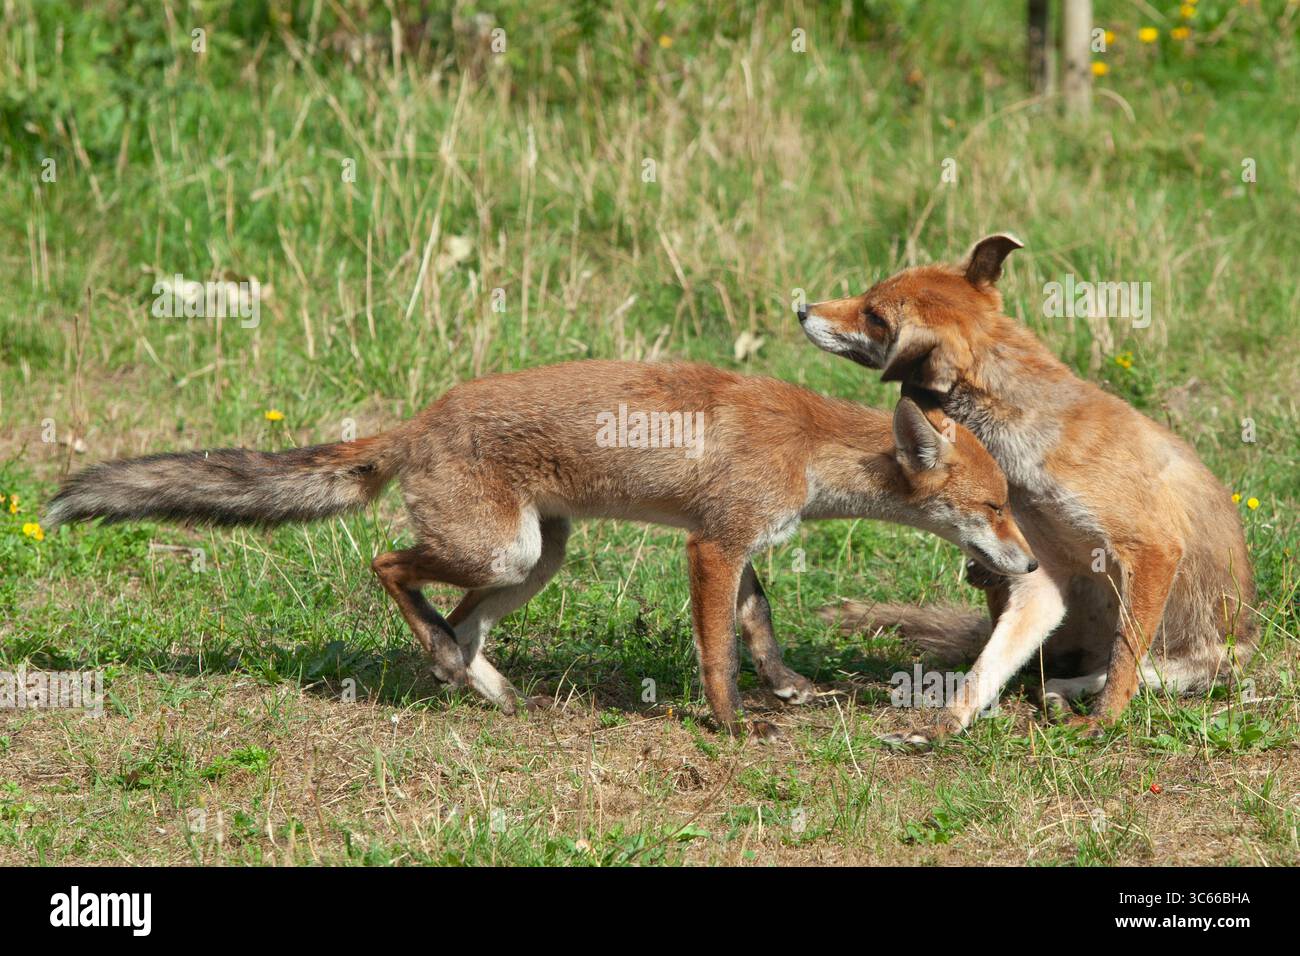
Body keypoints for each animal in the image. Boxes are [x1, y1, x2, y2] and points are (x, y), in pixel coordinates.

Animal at [46, 360, 1036, 740]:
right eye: (995, 507)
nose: (1029, 568)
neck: (809, 445)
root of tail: (421, 419)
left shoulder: (738, 544)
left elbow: (760, 629)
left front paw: (792, 690)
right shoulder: (711, 545)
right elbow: (718, 653)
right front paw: (730, 725)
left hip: (533, 561)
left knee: (454, 621)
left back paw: (477, 683)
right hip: (502, 553)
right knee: (388, 566)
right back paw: (457, 668)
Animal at [798, 234, 1256, 746]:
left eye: (873, 315)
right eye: (868, 294)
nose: (801, 309)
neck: (1027, 451)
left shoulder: (1152, 546)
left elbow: (1122, 662)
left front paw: (1103, 723)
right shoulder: (1042, 578)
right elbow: (983, 673)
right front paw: (944, 726)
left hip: (1199, 666)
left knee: (1132, 673)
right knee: (1047, 666)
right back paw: (1056, 691)